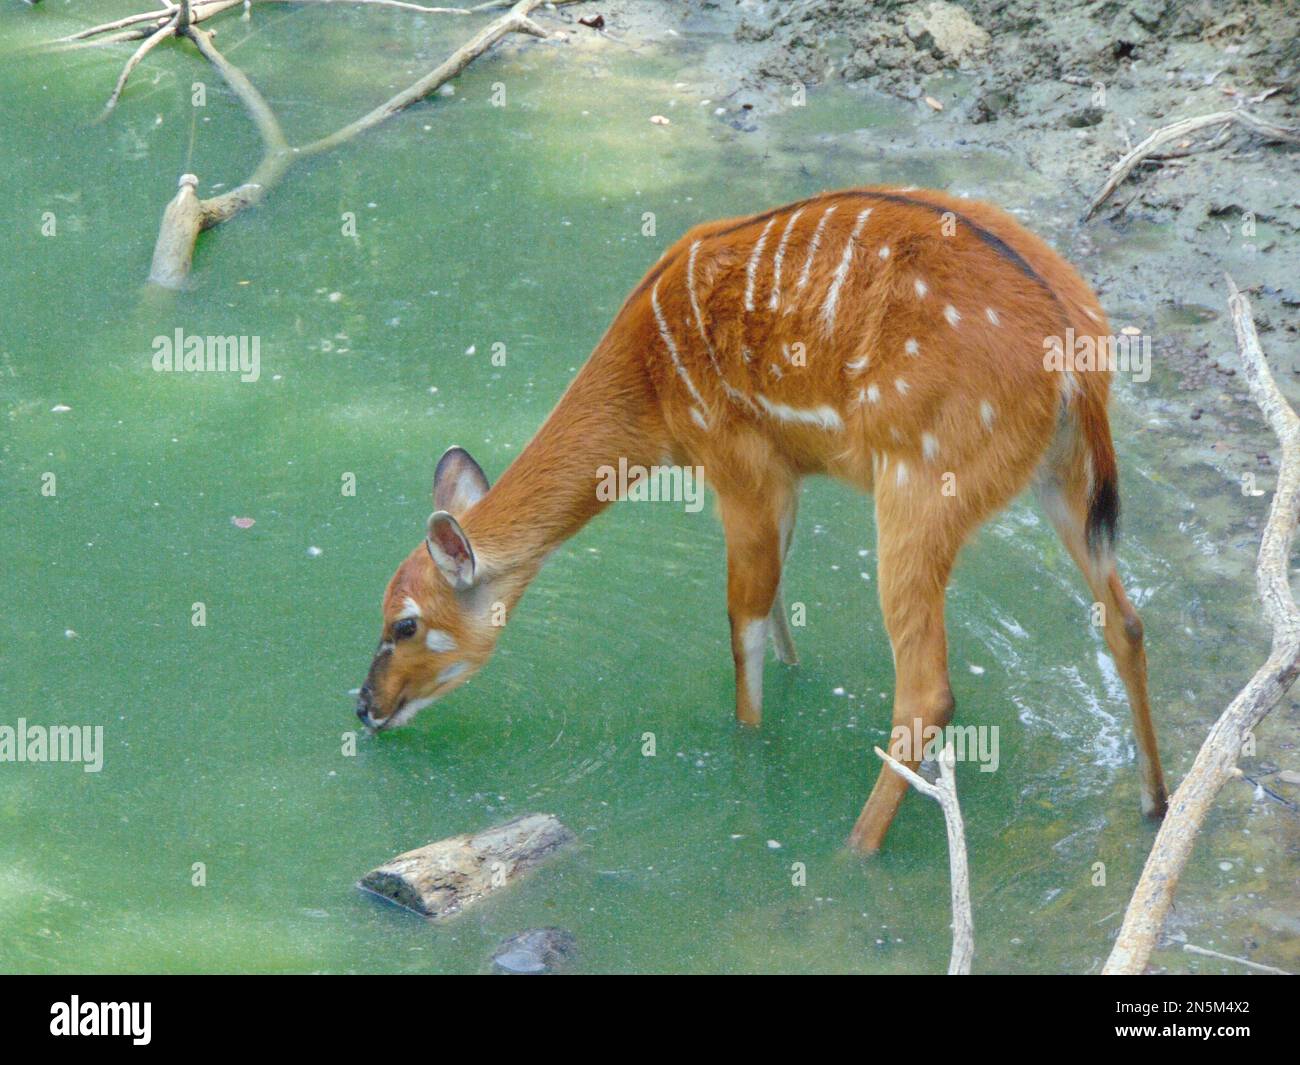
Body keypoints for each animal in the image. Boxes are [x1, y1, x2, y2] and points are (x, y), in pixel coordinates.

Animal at [355, 186, 1168, 853]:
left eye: (404, 623)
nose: (365, 707)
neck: (649, 392)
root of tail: (1077, 350)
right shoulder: (785, 474)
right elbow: (778, 613)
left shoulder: (739, 464)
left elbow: (742, 624)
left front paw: (748, 760)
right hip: (1060, 481)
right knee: (1125, 621)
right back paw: (1156, 805)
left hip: (918, 489)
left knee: (928, 689)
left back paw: (851, 852)